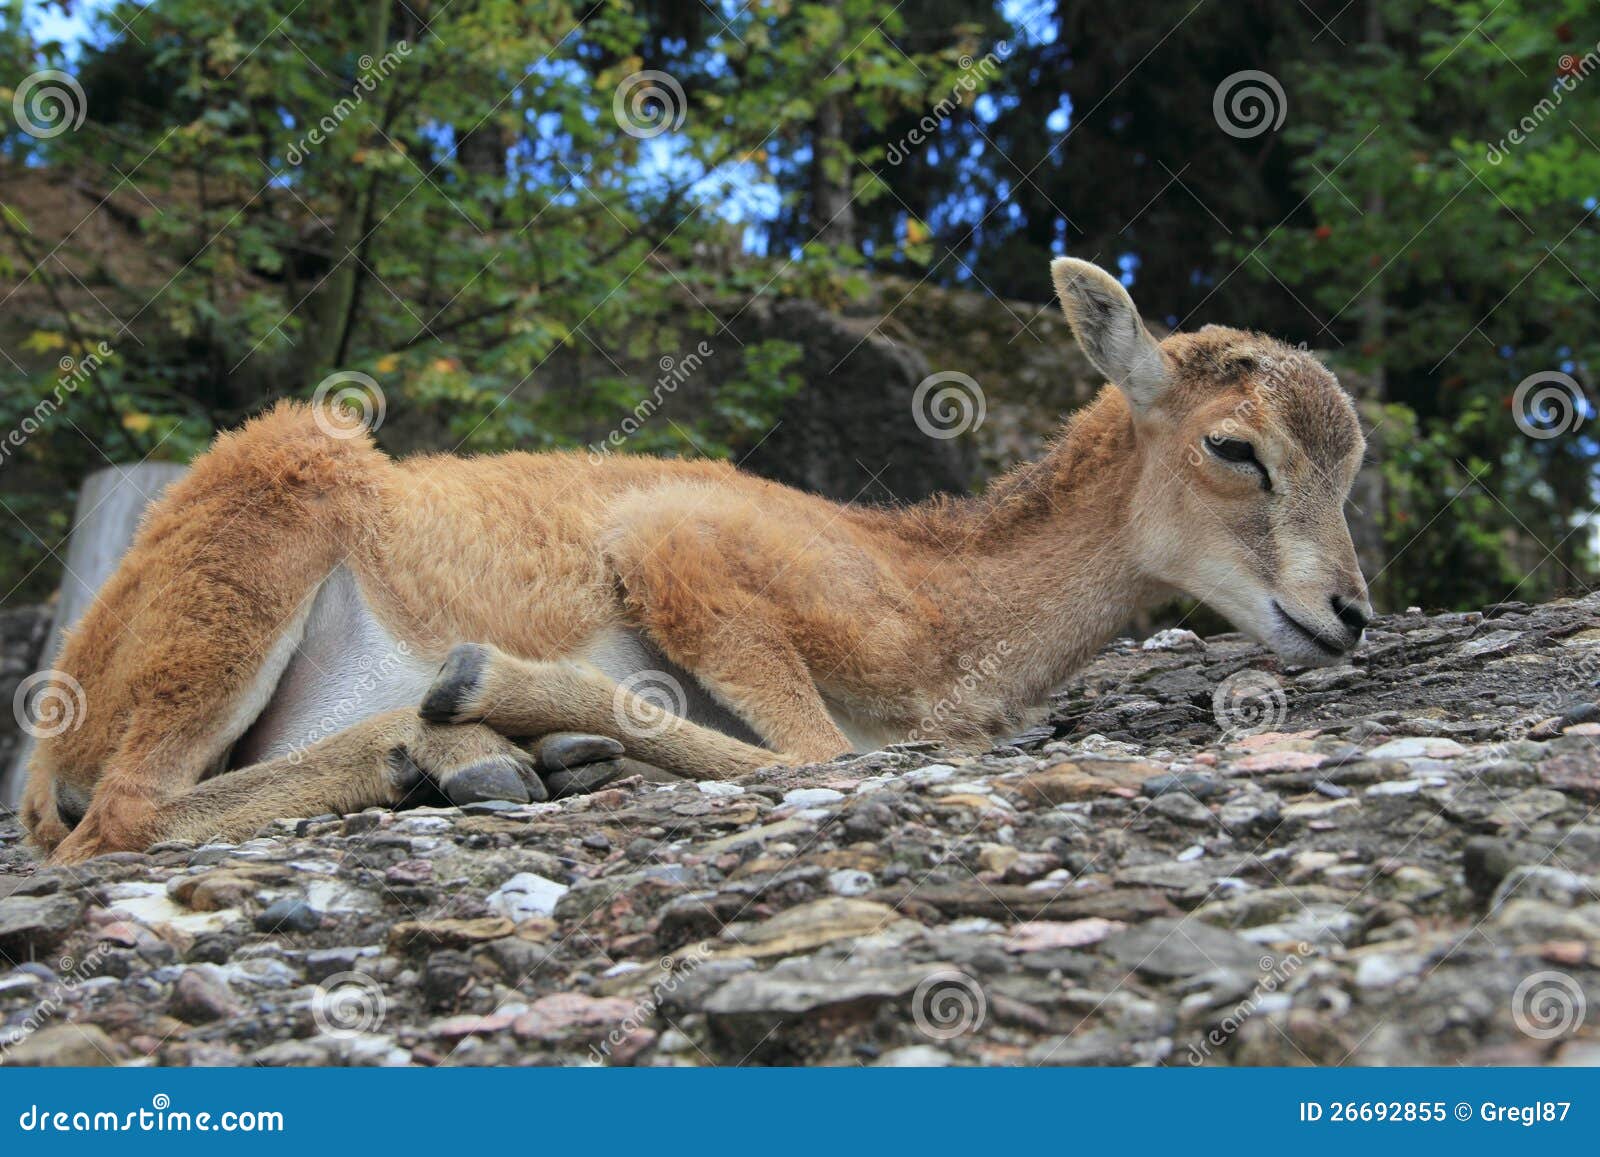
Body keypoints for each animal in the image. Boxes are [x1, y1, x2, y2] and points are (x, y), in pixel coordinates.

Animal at [19, 259, 1371, 864]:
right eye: (1234, 445)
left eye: (1352, 456)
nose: (1346, 610)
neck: (937, 607)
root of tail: (48, 749)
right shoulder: (678, 552)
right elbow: (808, 757)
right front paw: (500, 700)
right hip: (253, 547)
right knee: (124, 814)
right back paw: (456, 744)